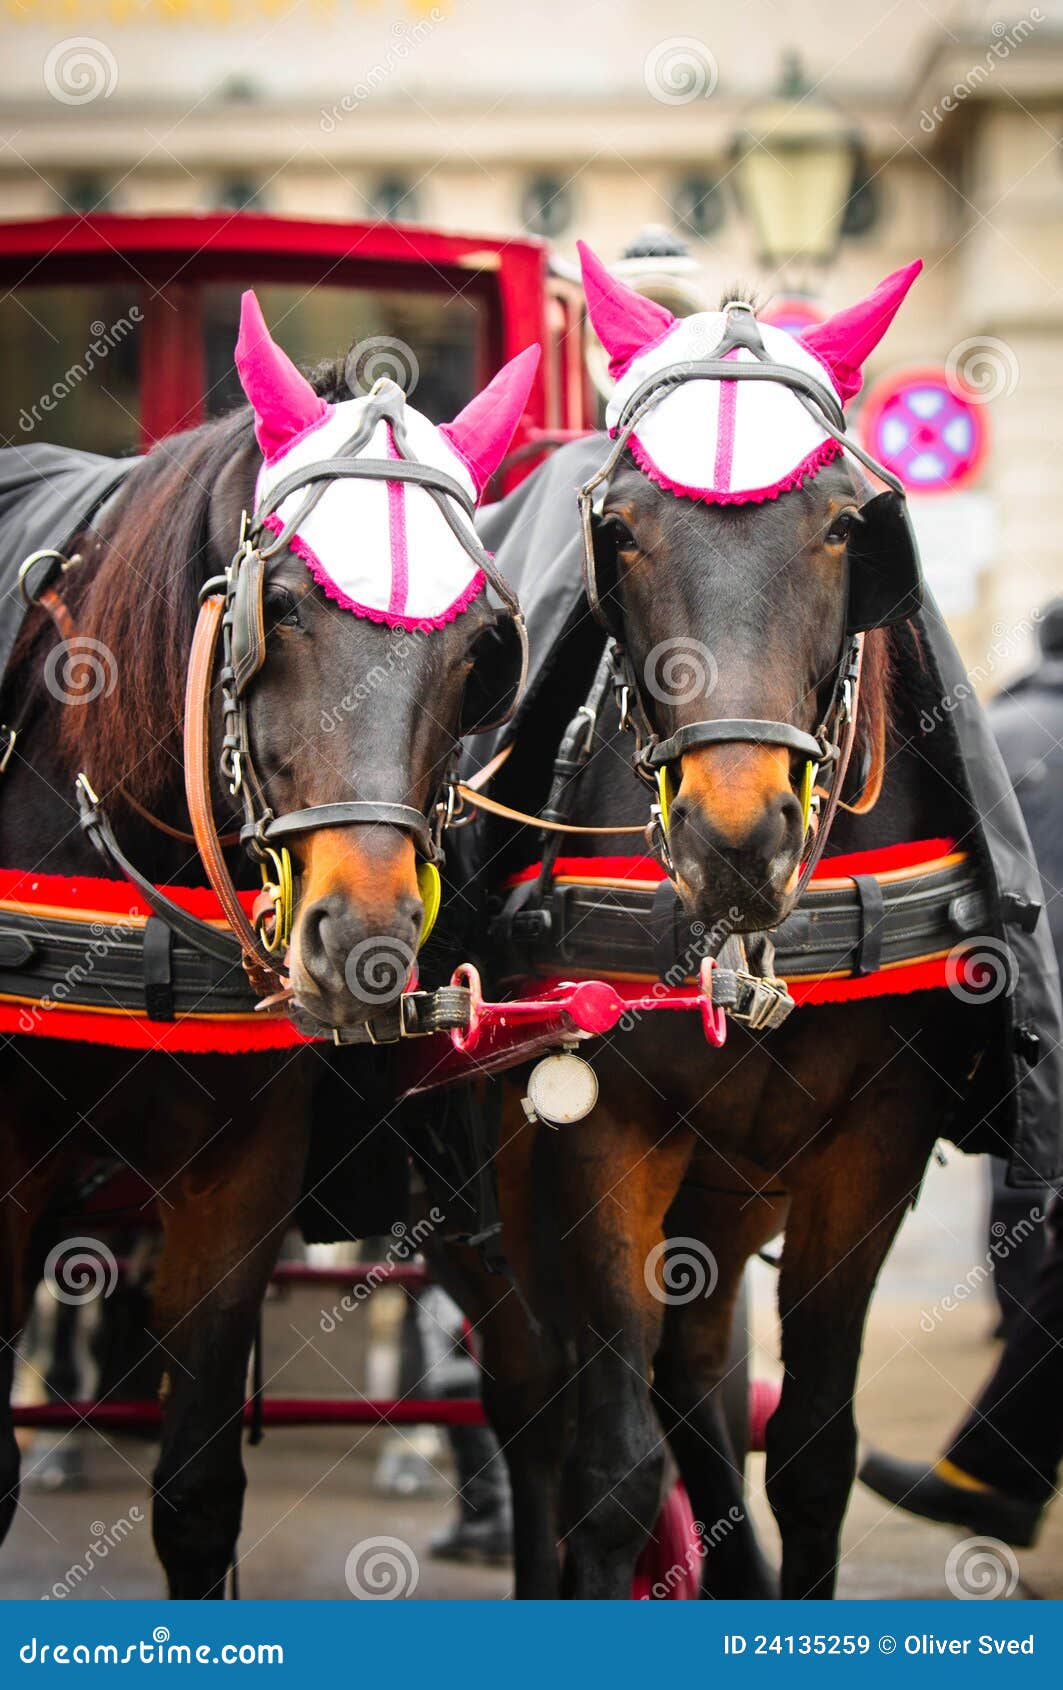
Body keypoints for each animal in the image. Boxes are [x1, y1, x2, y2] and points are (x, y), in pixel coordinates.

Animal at [429, 248, 1024, 1599]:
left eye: (847, 522)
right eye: (618, 529)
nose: (735, 835)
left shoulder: (873, 1143)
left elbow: (807, 1449)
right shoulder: (598, 1132)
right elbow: (610, 1467)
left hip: (731, 1184)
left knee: (695, 1385)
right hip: (493, 1193)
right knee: (541, 1405)